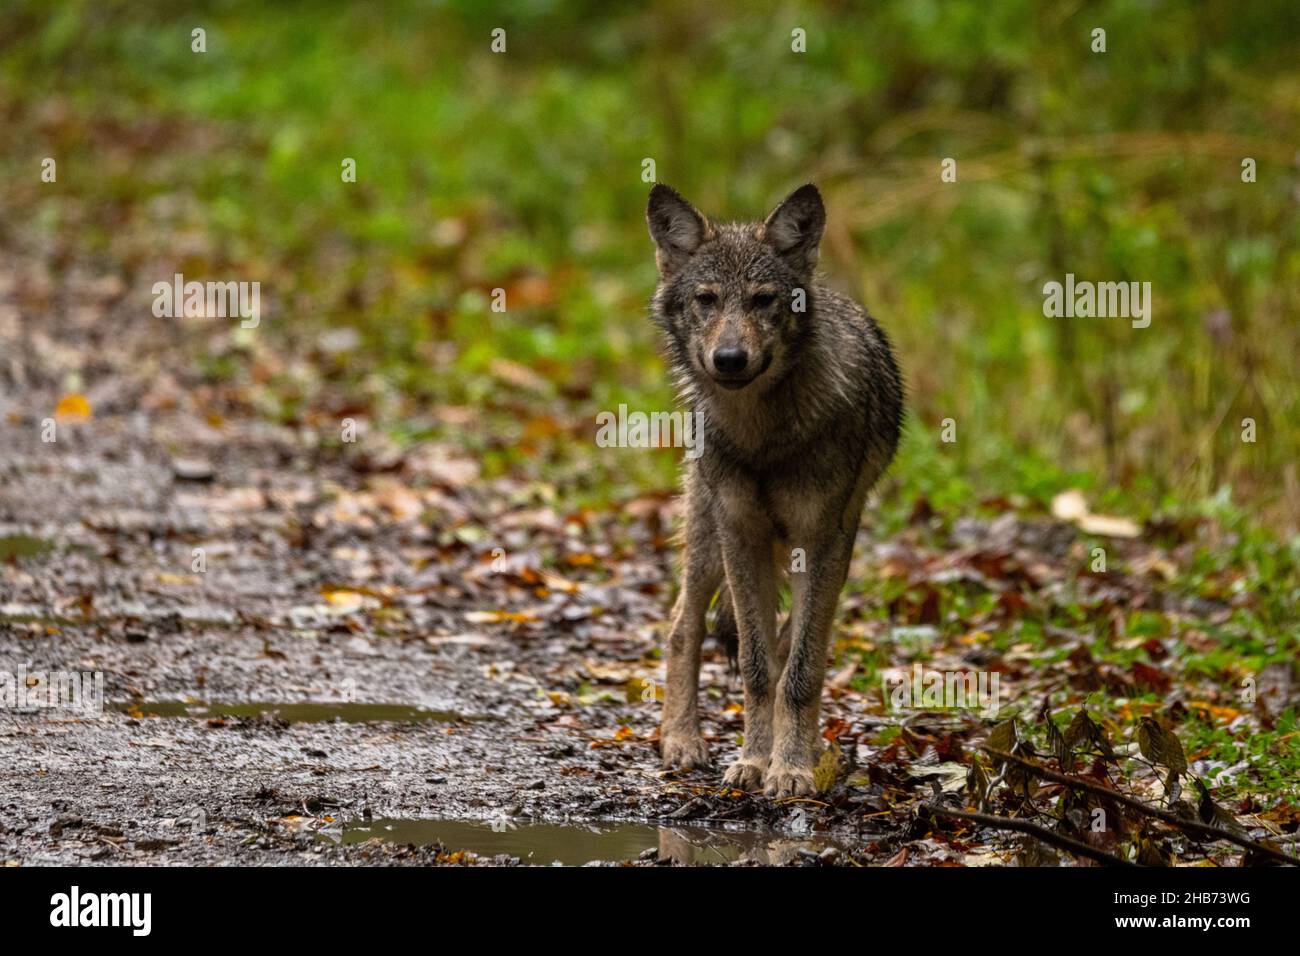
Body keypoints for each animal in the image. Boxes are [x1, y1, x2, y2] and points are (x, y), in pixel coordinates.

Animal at [646, 183, 903, 797]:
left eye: (764, 301)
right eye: (707, 300)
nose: (729, 358)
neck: (763, 436)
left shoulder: (824, 538)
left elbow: (800, 670)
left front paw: (791, 767)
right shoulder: (741, 536)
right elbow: (758, 669)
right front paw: (753, 762)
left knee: (790, 642)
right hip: (709, 533)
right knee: (681, 624)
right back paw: (681, 740)